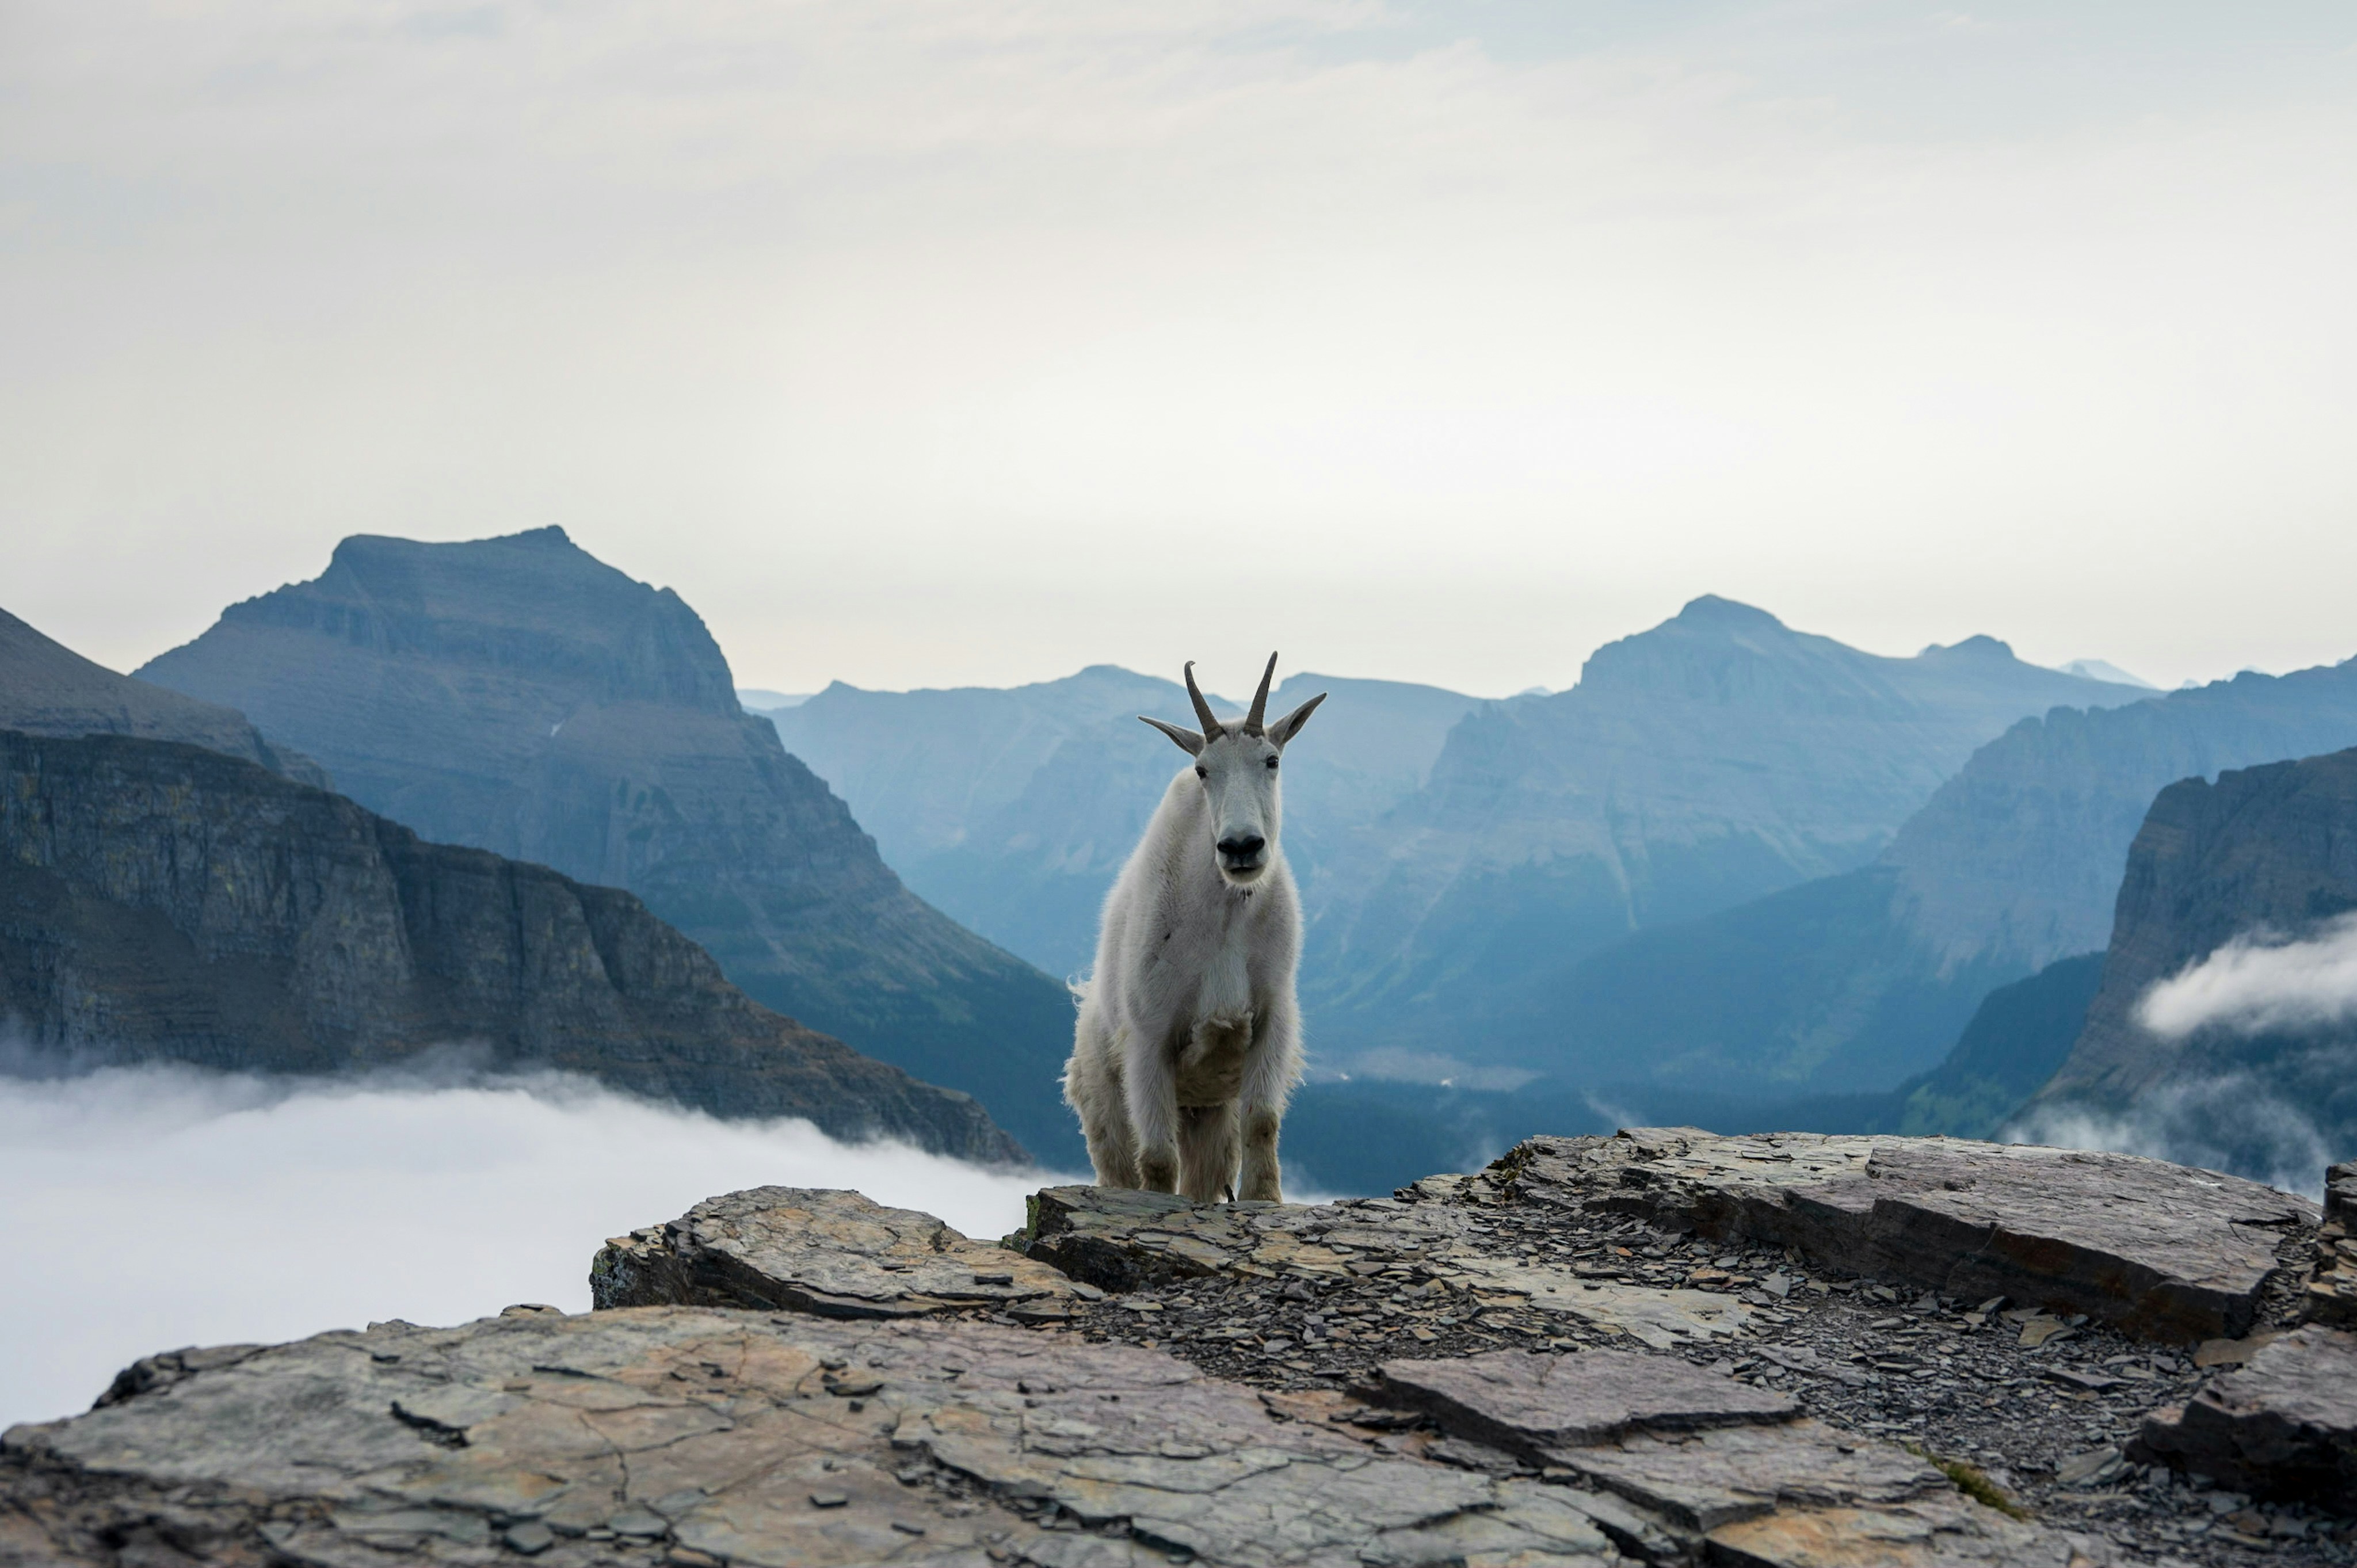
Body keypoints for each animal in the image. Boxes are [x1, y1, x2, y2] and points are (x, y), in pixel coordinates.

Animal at [1063, 653, 1325, 1203]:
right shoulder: (1149, 1040)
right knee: (1121, 1165)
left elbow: (1262, 1122)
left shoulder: (1272, 1019)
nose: (1241, 846)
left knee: (1206, 1174)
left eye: (1272, 760)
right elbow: (1158, 1160)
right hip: (1105, 1102)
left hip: (1208, 1113)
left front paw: (1265, 1199)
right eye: (1203, 770)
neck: (1225, 917)